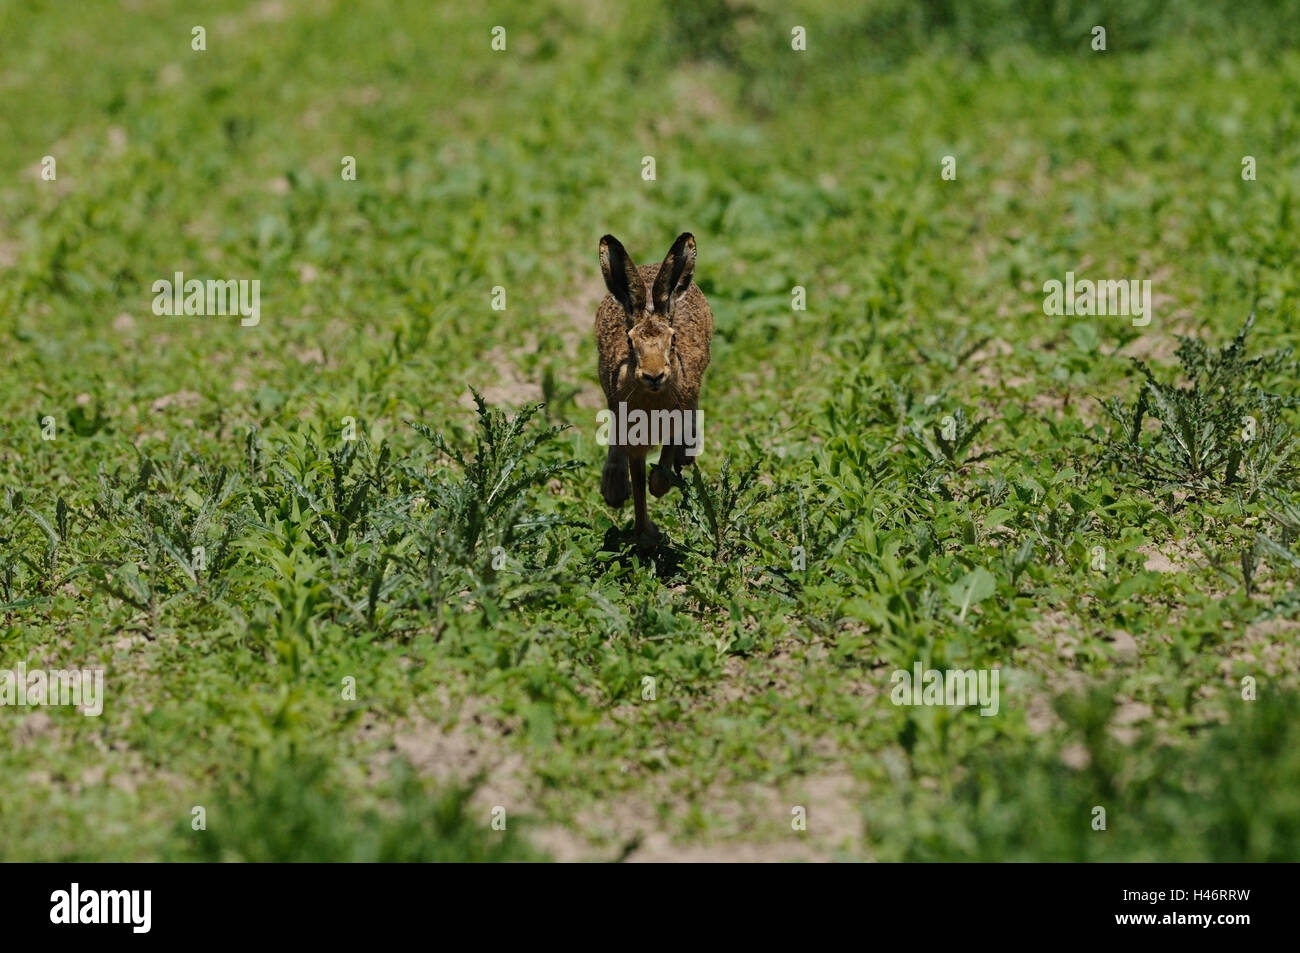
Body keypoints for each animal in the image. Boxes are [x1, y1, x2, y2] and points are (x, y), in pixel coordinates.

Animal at [595, 232, 713, 547]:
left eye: (673, 340)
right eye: (629, 340)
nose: (653, 375)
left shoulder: (677, 417)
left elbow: (663, 464)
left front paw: (659, 486)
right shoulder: (632, 438)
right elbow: (637, 485)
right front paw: (645, 536)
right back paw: (613, 489)